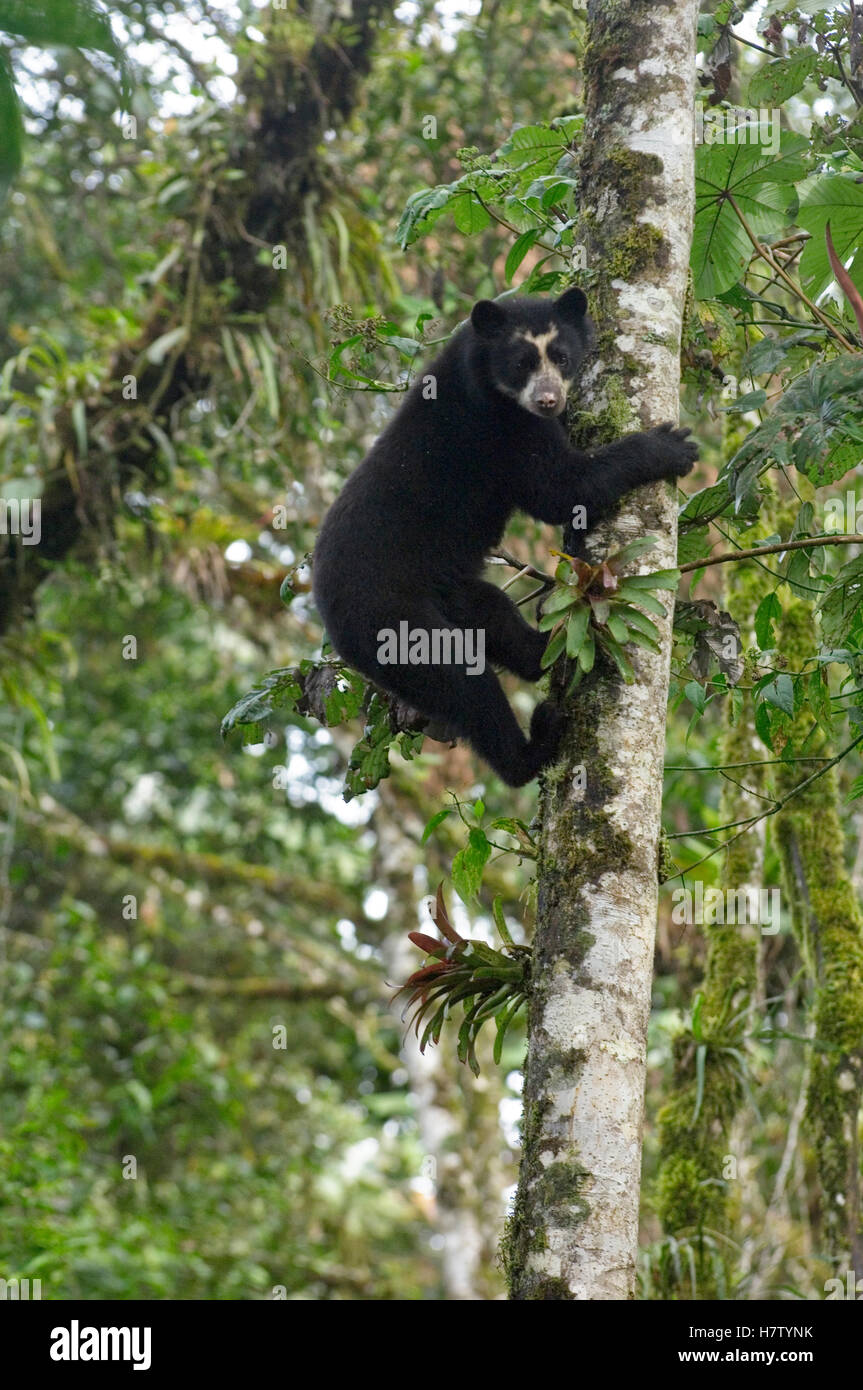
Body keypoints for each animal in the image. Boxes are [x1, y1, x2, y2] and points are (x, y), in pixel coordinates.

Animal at [312, 287, 697, 787]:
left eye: (562, 356)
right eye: (520, 363)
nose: (550, 400)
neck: (479, 371)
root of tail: (324, 612)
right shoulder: (501, 431)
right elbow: (562, 488)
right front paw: (673, 445)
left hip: (449, 589)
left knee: (491, 614)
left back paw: (552, 646)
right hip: (385, 616)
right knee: (460, 681)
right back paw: (533, 747)